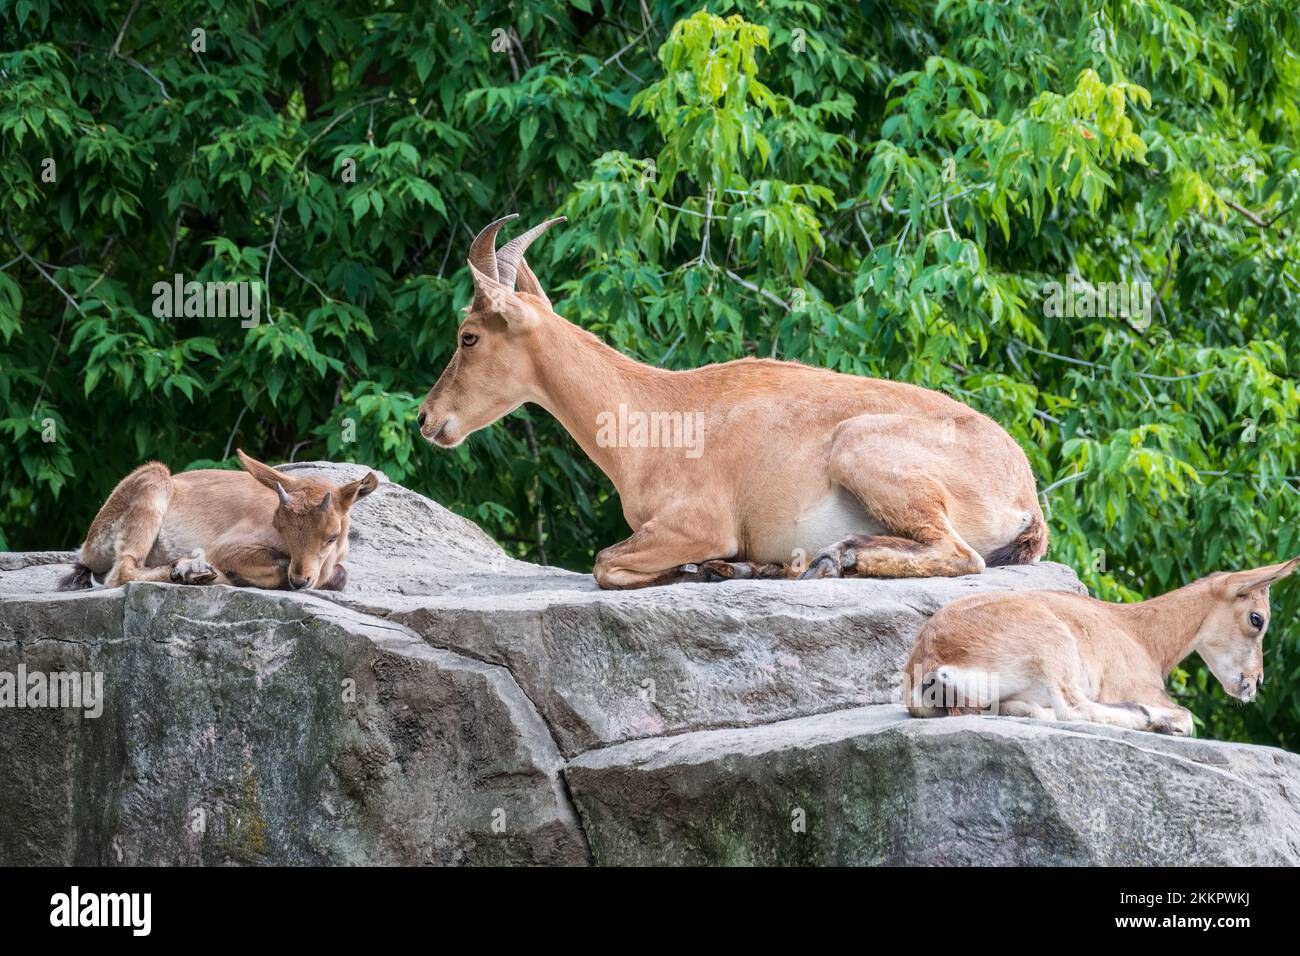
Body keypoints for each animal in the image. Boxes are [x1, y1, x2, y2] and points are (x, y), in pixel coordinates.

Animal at [58, 450, 378, 592]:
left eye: (332, 535)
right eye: (279, 527)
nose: (300, 580)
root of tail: (86, 548)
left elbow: (340, 576)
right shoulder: (227, 547)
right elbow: (276, 566)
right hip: (152, 485)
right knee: (121, 571)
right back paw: (191, 570)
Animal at [417, 215, 1047, 589]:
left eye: (468, 336)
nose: (426, 418)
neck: (652, 418)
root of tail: (1025, 494)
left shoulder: (697, 522)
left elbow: (605, 563)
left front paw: (701, 567)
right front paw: (724, 566)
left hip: (861, 446)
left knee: (959, 554)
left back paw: (825, 559)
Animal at [902, 557, 1300, 735]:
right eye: (1257, 618)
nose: (1254, 682)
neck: (1143, 636)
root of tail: (930, 664)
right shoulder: (1134, 684)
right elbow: (1186, 718)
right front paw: (1158, 717)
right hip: (1052, 641)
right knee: (1072, 708)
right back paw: (1143, 716)